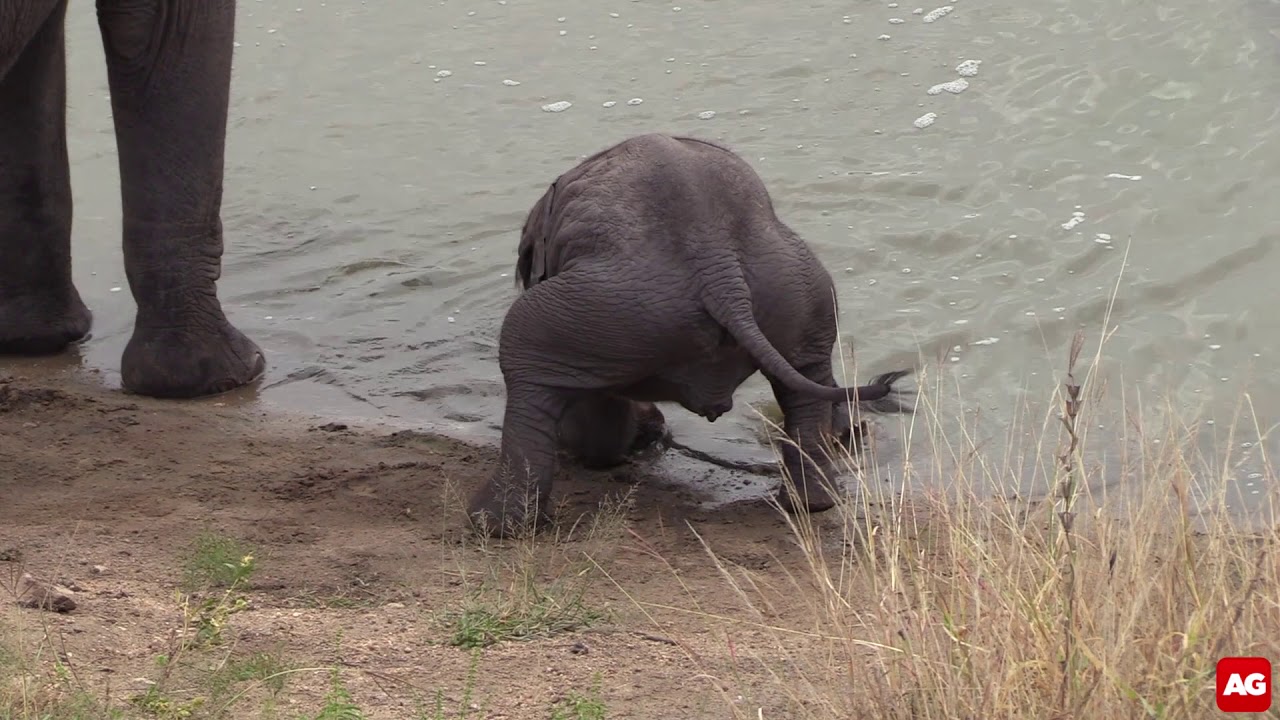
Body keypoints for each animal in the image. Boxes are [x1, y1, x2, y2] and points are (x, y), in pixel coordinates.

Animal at [468, 132, 914, 538]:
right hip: (798, 285)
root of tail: (718, 263)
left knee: (521, 354)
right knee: (806, 382)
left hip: (607, 305)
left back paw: (492, 525)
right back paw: (811, 503)